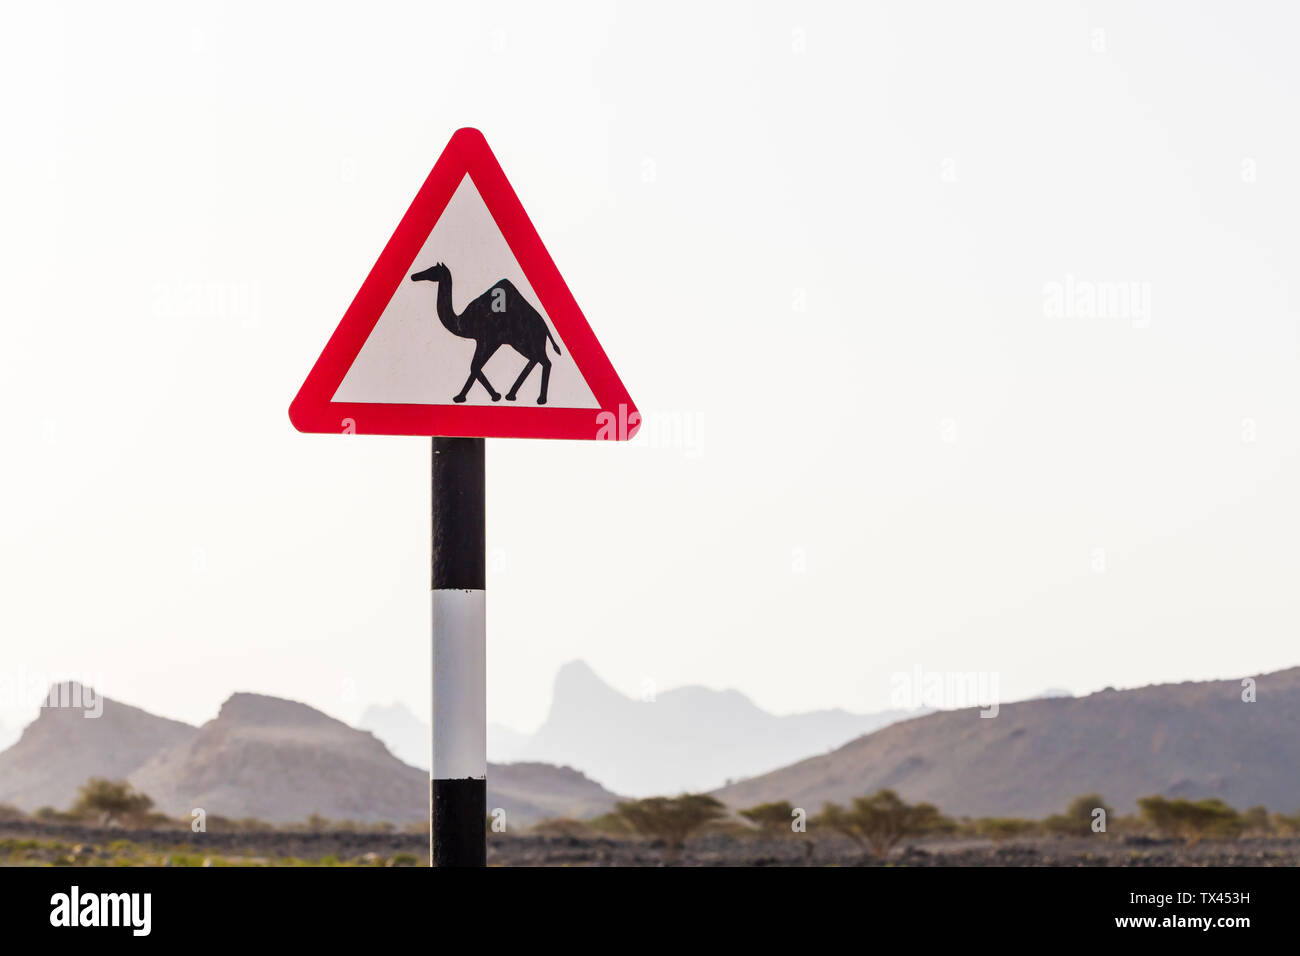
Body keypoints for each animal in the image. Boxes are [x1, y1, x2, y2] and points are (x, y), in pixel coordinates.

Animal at [410, 262, 561, 404]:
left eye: (432, 270)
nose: (413, 276)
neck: (463, 320)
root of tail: (546, 328)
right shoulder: (486, 340)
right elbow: (475, 366)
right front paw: (464, 397)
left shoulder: (489, 339)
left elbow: (475, 366)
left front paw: (490, 396)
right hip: (521, 343)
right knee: (536, 359)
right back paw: (511, 395)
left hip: (531, 340)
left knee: (545, 361)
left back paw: (540, 399)